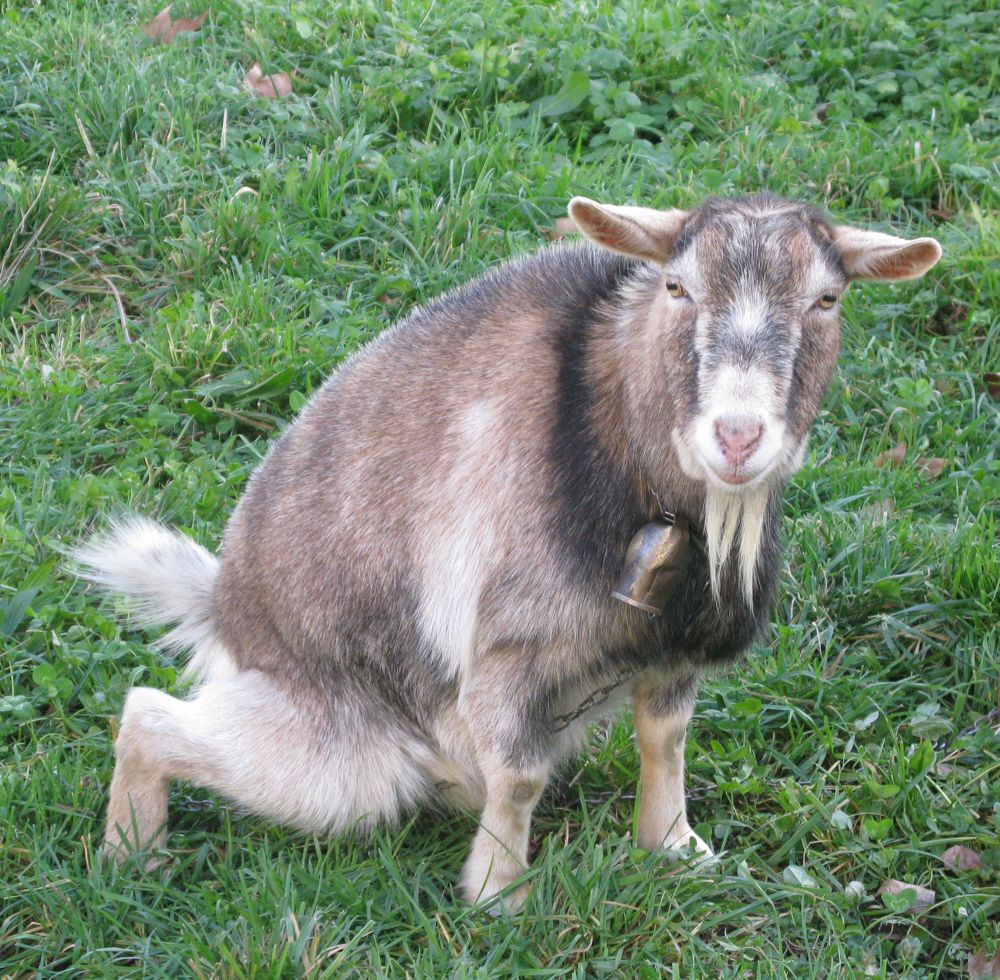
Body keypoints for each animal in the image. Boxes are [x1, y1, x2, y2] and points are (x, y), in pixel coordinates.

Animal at [74, 193, 941, 911]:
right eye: (677, 287)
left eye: (827, 299)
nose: (737, 437)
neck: (617, 435)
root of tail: (225, 607)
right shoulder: (508, 654)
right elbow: (519, 777)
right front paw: (498, 894)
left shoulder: (672, 652)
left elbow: (665, 740)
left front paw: (675, 848)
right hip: (345, 757)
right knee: (149, 714)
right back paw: (133, 857)